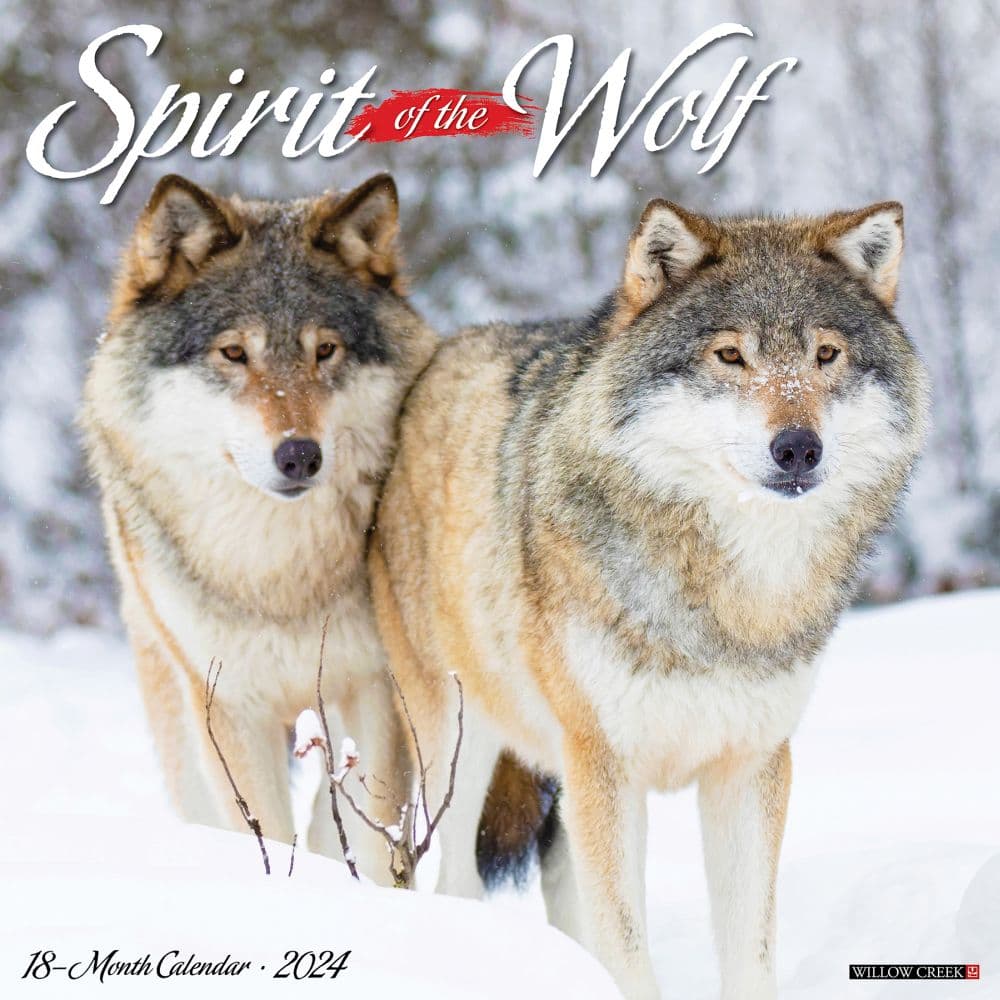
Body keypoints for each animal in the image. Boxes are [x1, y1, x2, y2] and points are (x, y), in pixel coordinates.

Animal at [81, 172, 437, 883]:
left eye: (324, 350)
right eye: (234, 353)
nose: (300, 455)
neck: (279, 576)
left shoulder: (375, 691)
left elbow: (371, 841)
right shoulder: (230, 707)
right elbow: (266, 832)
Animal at [370, 199, 929, 996]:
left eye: (826, 355)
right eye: (730, 356)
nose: (798, 447)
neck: (725, 600)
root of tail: (440, 357)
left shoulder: (749, 768)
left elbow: (750, 950)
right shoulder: (607, 766)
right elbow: (628, 949)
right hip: (461, 741)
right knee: (456, 881)